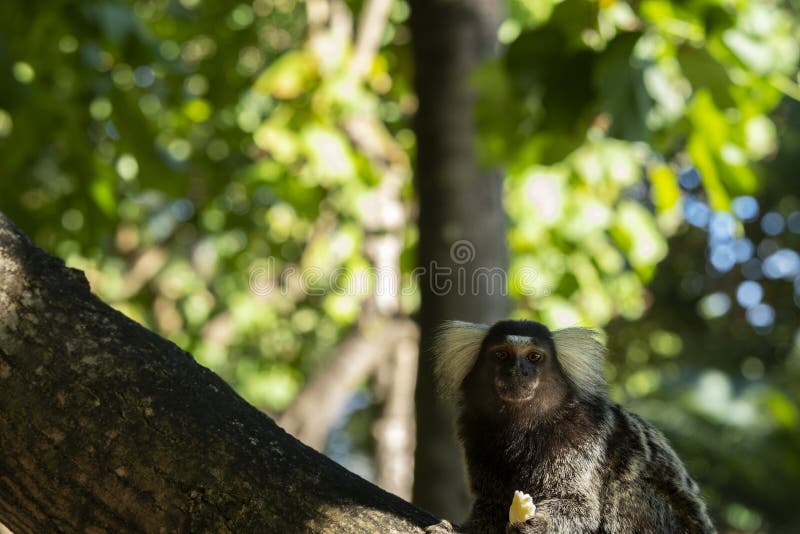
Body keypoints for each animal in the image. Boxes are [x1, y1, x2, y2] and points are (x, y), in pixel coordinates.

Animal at [425, 319, 715, 534]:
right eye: (502, 355)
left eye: (534, 357)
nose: (517, 371)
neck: (522, 427)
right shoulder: (476, 432)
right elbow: (492, 503)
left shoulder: (583, 435)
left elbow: (579, 504)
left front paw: (536, 523)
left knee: (624, 492)